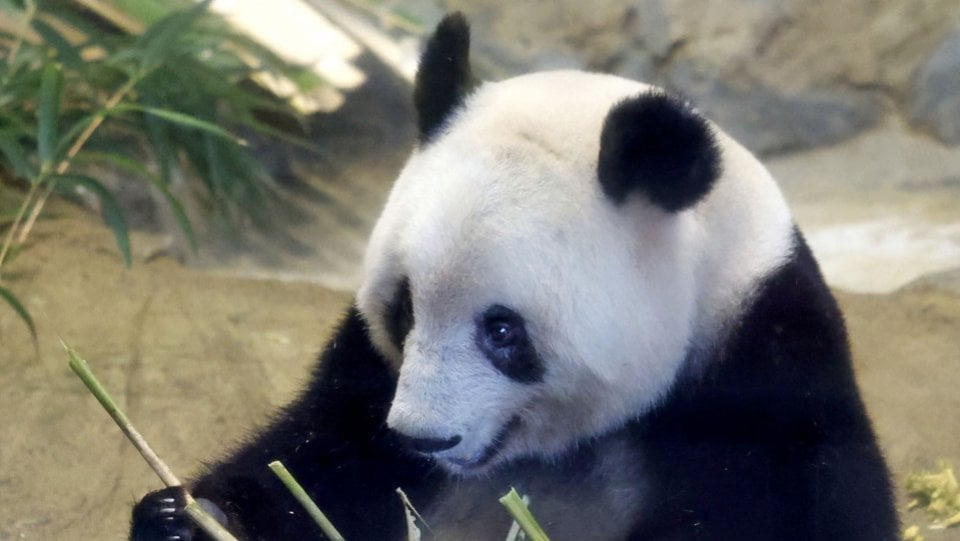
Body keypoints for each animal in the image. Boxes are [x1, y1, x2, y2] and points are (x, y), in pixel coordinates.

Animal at [131, 13, 899, 541]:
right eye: (404, 310)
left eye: (503, 331)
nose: (422, 440)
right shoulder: (367, 380)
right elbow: (315, 463)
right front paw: (184, 517)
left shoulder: (766, 375)